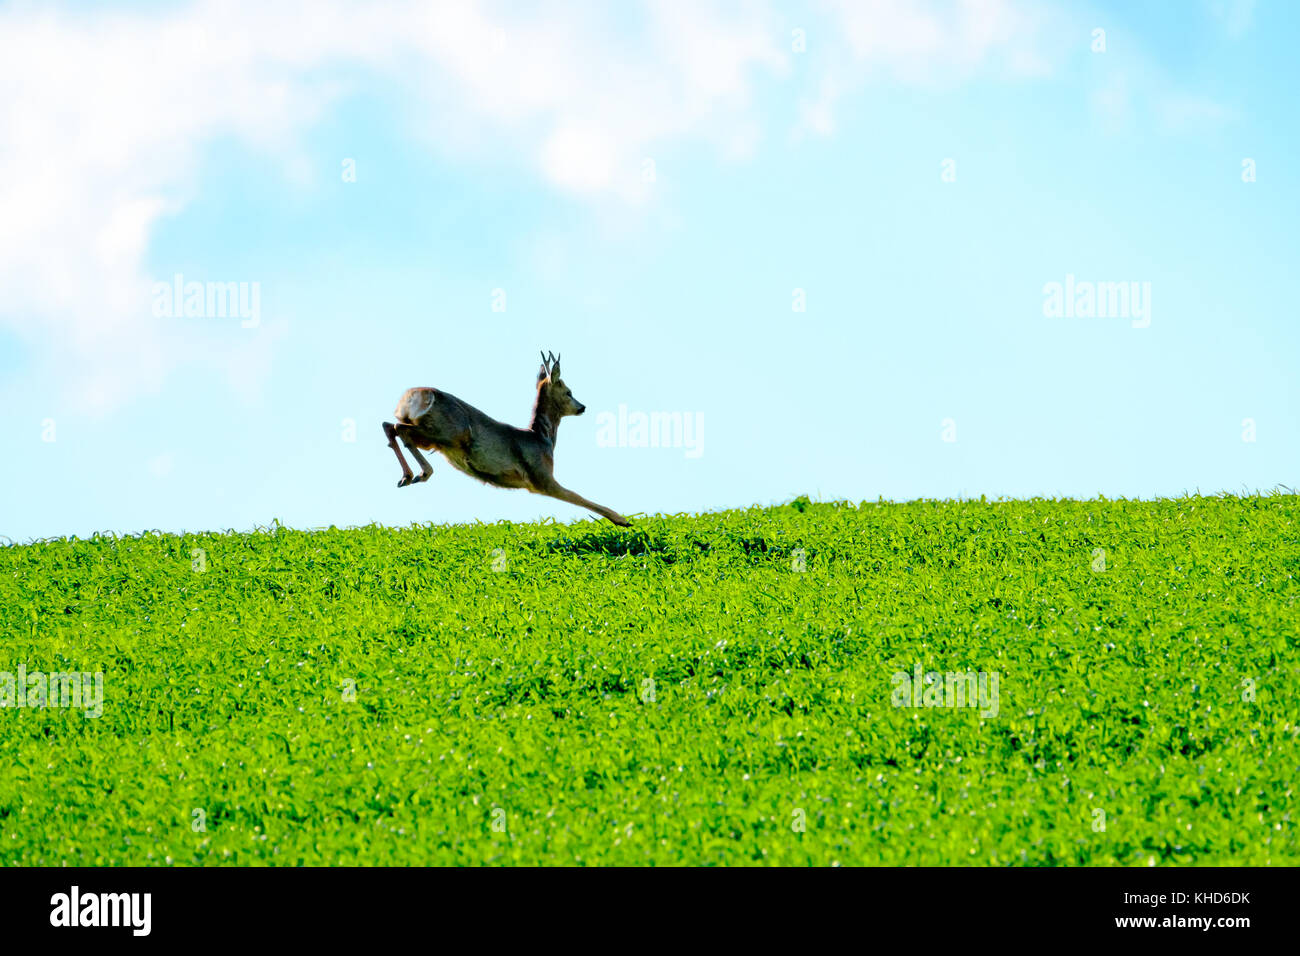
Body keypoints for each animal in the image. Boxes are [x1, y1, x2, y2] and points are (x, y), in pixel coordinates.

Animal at [382, 351, 631, 526]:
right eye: (569, 392)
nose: (582, 407)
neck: (542, 439)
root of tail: (414, 396)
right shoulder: (541, 477)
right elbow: (576, 496)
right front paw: (621, 520)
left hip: (434, 437)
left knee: (389, 425)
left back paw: (407, 477)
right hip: (447, 434)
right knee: (399, 428)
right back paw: (421, 473)